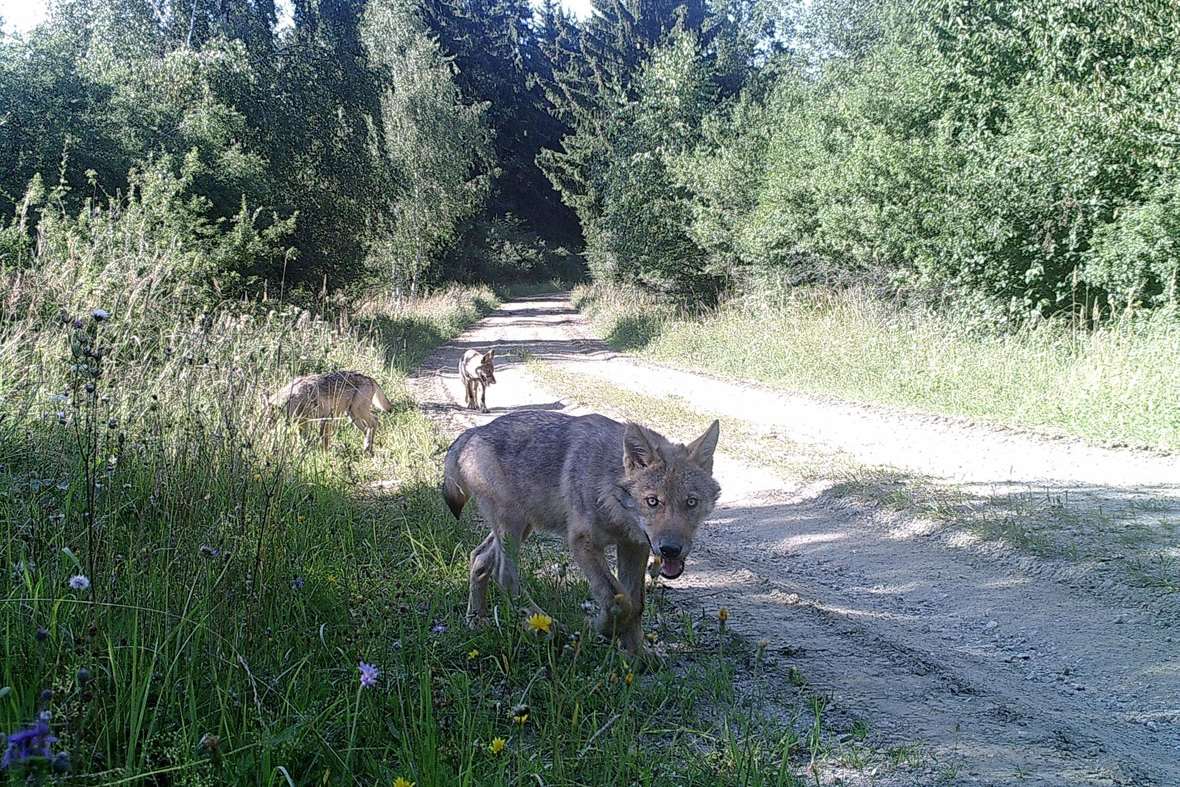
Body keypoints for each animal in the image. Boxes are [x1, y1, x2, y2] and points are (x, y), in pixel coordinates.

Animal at [442, 410, 720, 654]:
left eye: (691, 502)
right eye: (653, 501)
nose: (670, 549)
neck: (610, 495)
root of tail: (474, 431)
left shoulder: (635, 545)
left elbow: (636, 604)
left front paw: (638, 657)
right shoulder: (582, 542)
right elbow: (618, 601)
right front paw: (600, 628)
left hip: (522, 527)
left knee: (479, 557)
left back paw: (476, 621)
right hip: (513, 526)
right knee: (505, 576)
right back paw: (554, 629)